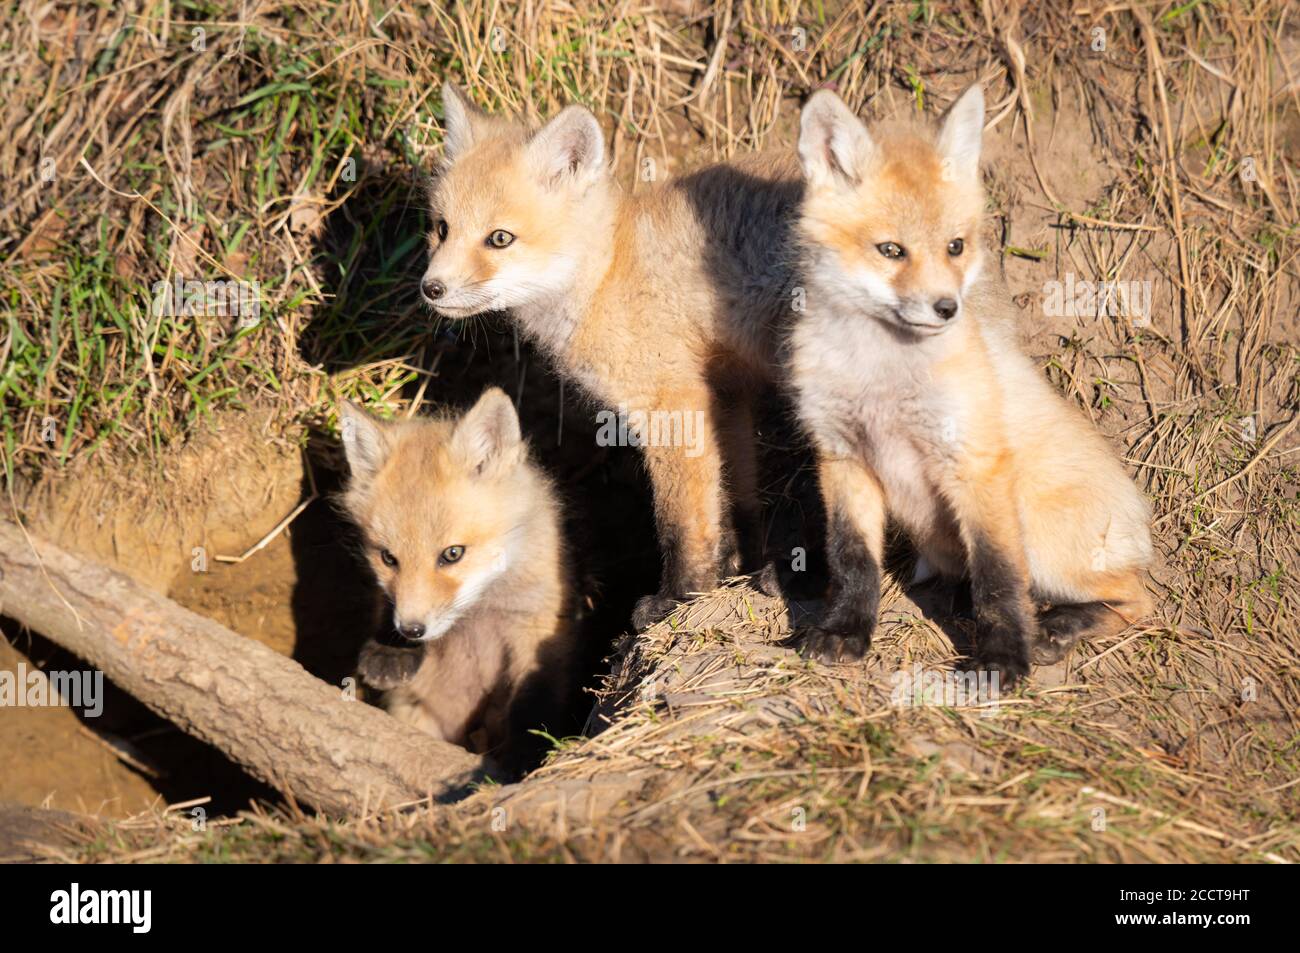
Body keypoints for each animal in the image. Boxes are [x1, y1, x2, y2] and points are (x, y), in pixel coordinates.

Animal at [339, 387, 578, 776]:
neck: (480, 611)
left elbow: (534, 699)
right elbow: (385, 600)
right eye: (388, 558)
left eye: (452, 554)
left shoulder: (536, 624)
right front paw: (390, 650)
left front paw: (525, 759)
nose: (410, 631)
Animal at [421, 84, 801, 629]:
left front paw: (678, 598)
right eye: (441, 229)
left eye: (499, 238)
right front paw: (733, 569)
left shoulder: (671, 402)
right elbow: (733, 503)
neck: (606, 275)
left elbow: (681, 521)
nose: (430, 288)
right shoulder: (725, 394)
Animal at [788, 84, 1153, 684]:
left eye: (955, 247)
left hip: (1043, 537)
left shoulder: (974, 462)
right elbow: (853, 560)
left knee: (1139, 597)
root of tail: (1139, 514)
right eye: (891, 250)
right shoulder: (842, 456)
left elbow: (998, 577)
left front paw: (1002, 660)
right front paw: (847, 632)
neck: (881, 380)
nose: (946, 308)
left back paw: (1058, 628)